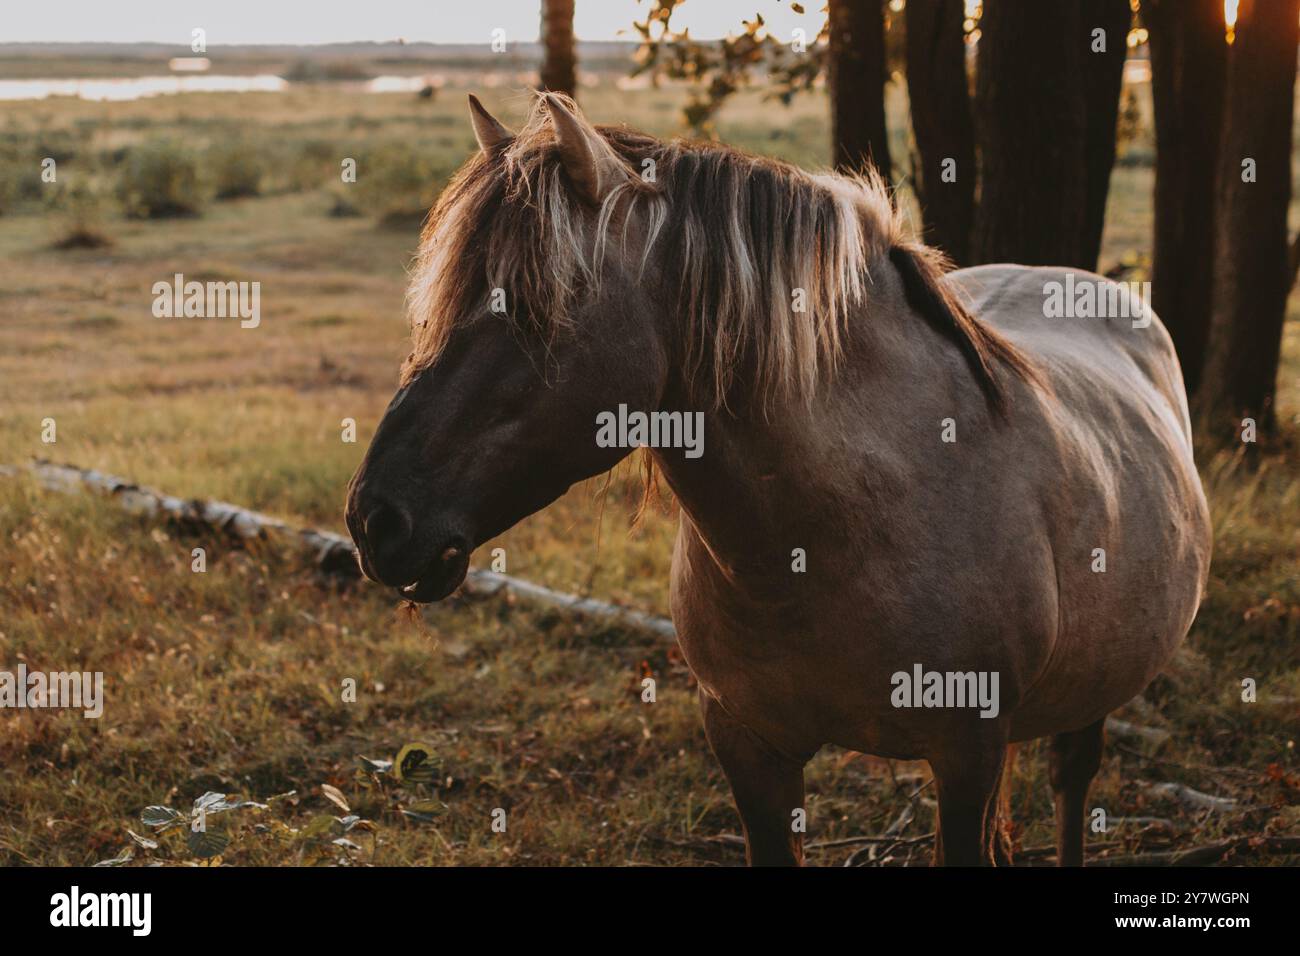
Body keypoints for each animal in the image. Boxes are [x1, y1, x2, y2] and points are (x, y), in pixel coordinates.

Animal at [345, 92, 1212, 866]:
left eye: (532, 307)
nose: (375, 520)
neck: (844, 531)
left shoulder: (967, 754)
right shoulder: (751, 749)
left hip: (1096, 691)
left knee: (1072, 783)